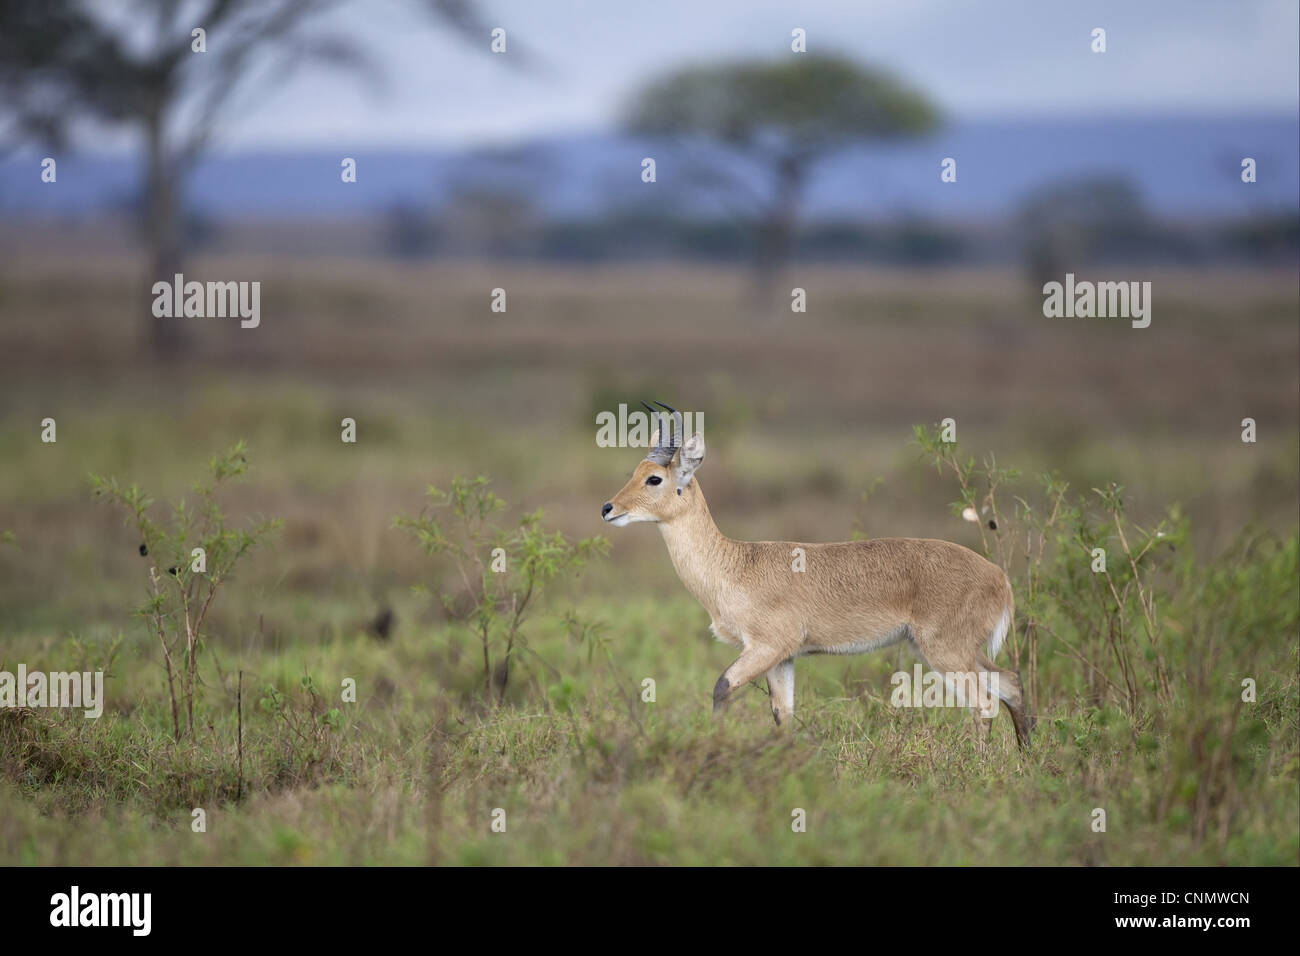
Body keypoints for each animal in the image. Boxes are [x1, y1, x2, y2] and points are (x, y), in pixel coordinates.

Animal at [600, 402, 1033, 748]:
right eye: (636, 471)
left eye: (654, 478)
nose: (608, 508)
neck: (735, 565)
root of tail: (999, 577)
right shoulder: (784, 659)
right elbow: (783, 715)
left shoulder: (766, 647)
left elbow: (722, 686)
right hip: (949, 650)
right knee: (1010, 682)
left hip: (946, 651)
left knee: (984, 703)